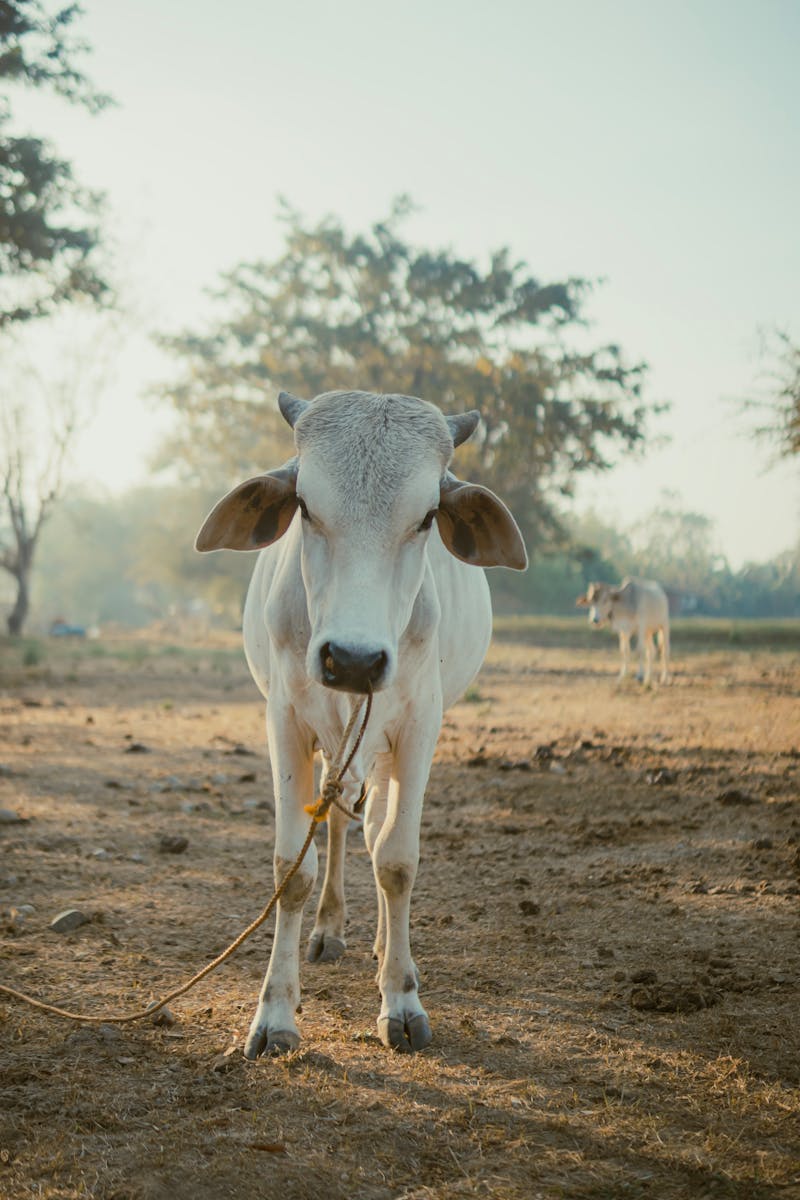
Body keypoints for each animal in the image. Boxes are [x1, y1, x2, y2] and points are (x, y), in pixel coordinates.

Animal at [196, 389, 527, 1056]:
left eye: (427, 517)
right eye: (304, 506)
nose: (352, 659)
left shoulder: (420, 725)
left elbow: (396, 860)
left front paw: (400, 999)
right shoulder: (285, 719)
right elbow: (291, 868)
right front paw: (275, 1013)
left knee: (373, 831)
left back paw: (383, 949)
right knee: (339, 822)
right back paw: (330, 929)